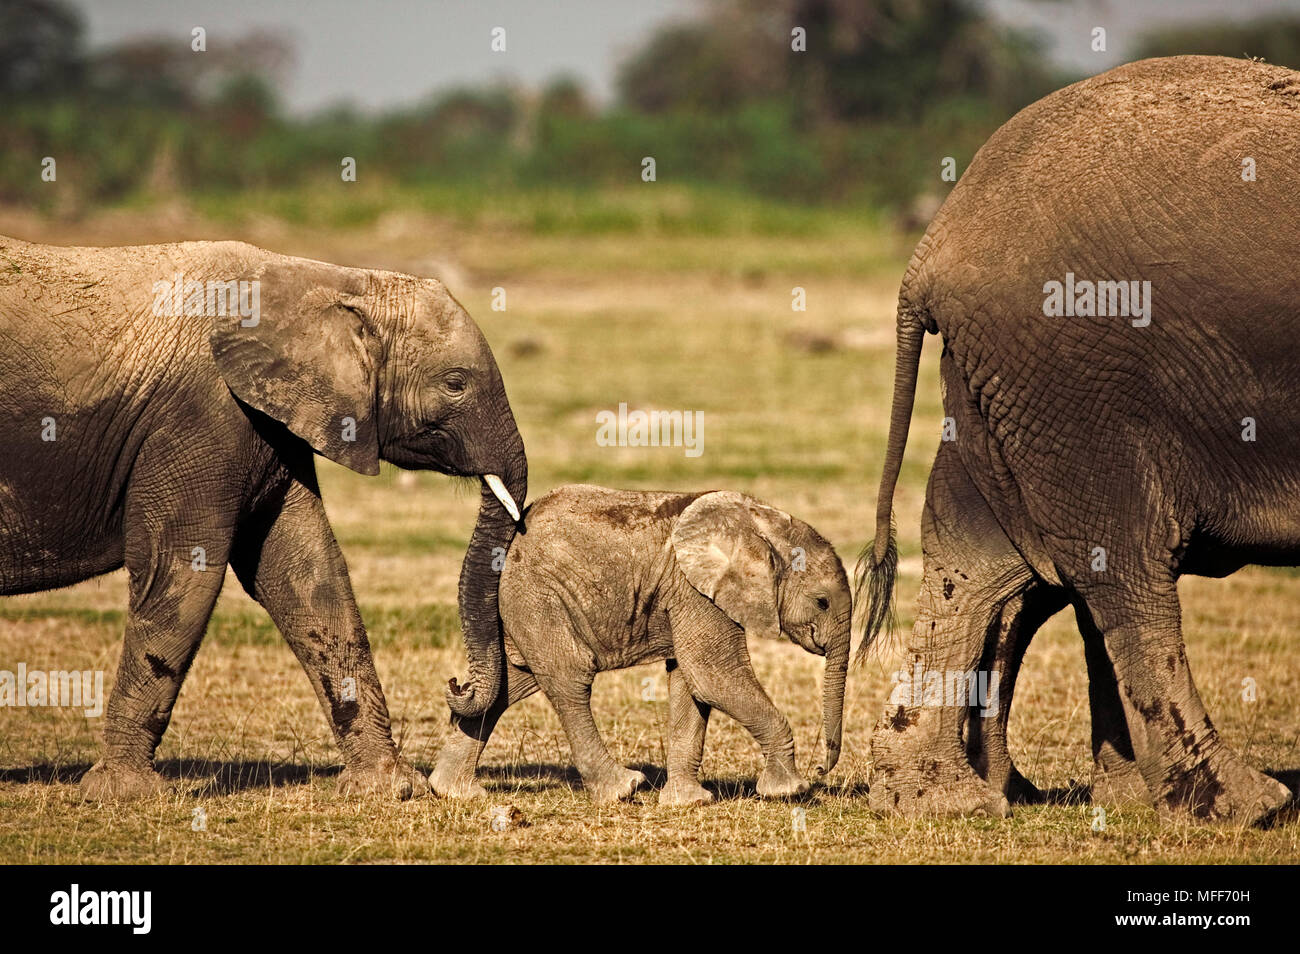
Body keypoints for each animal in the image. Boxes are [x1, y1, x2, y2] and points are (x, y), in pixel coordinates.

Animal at [0, 235, 527, 800]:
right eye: (455, 383)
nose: (456, 685)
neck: (326, 278)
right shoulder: (202, 413)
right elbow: (181, 570)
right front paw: (125, 794)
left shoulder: (271, 421)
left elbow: (307, 575)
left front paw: (389, 789)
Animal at [430, 485, 851, 804]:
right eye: (822, 602)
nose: (821, 768)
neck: (762, 521)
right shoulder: (695, 590)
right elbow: (714, 677)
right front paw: (790, 791)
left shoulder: (690, 595)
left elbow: (691, 684)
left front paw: (689, 802)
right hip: (538, 596)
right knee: (569, 679)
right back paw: (623, 788)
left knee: (508, 684)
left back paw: (454, 791)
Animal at [855, 55, 1299, 824]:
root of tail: (933, 245)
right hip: (1076, 376)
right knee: (1122, 563)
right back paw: (1243, 804)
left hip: (1010, 386)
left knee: (981, 553)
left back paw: (943, 797)